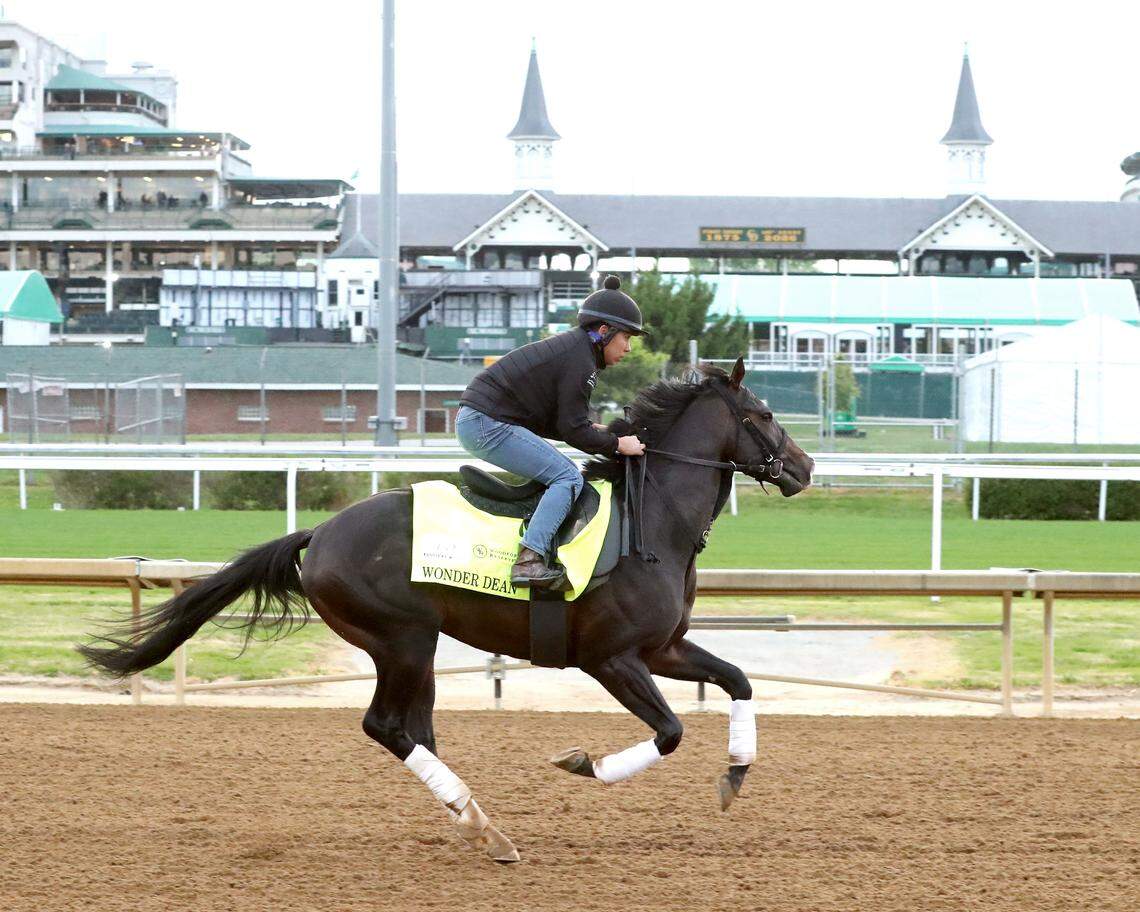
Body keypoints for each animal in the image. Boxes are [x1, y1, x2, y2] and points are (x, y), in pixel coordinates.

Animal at [79, 358, 814, 863]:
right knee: (386, 726)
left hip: (419, 646)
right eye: (761, 414)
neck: (653, 519)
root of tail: (319, 535)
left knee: (418, 732)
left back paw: (483, 828)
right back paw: (479, 822)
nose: (804, 469)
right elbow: (669, 731)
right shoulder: (611, 659)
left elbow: (738, 681)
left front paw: (736, 772)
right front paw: (583, 764)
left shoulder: (663, 647)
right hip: (400, 639)